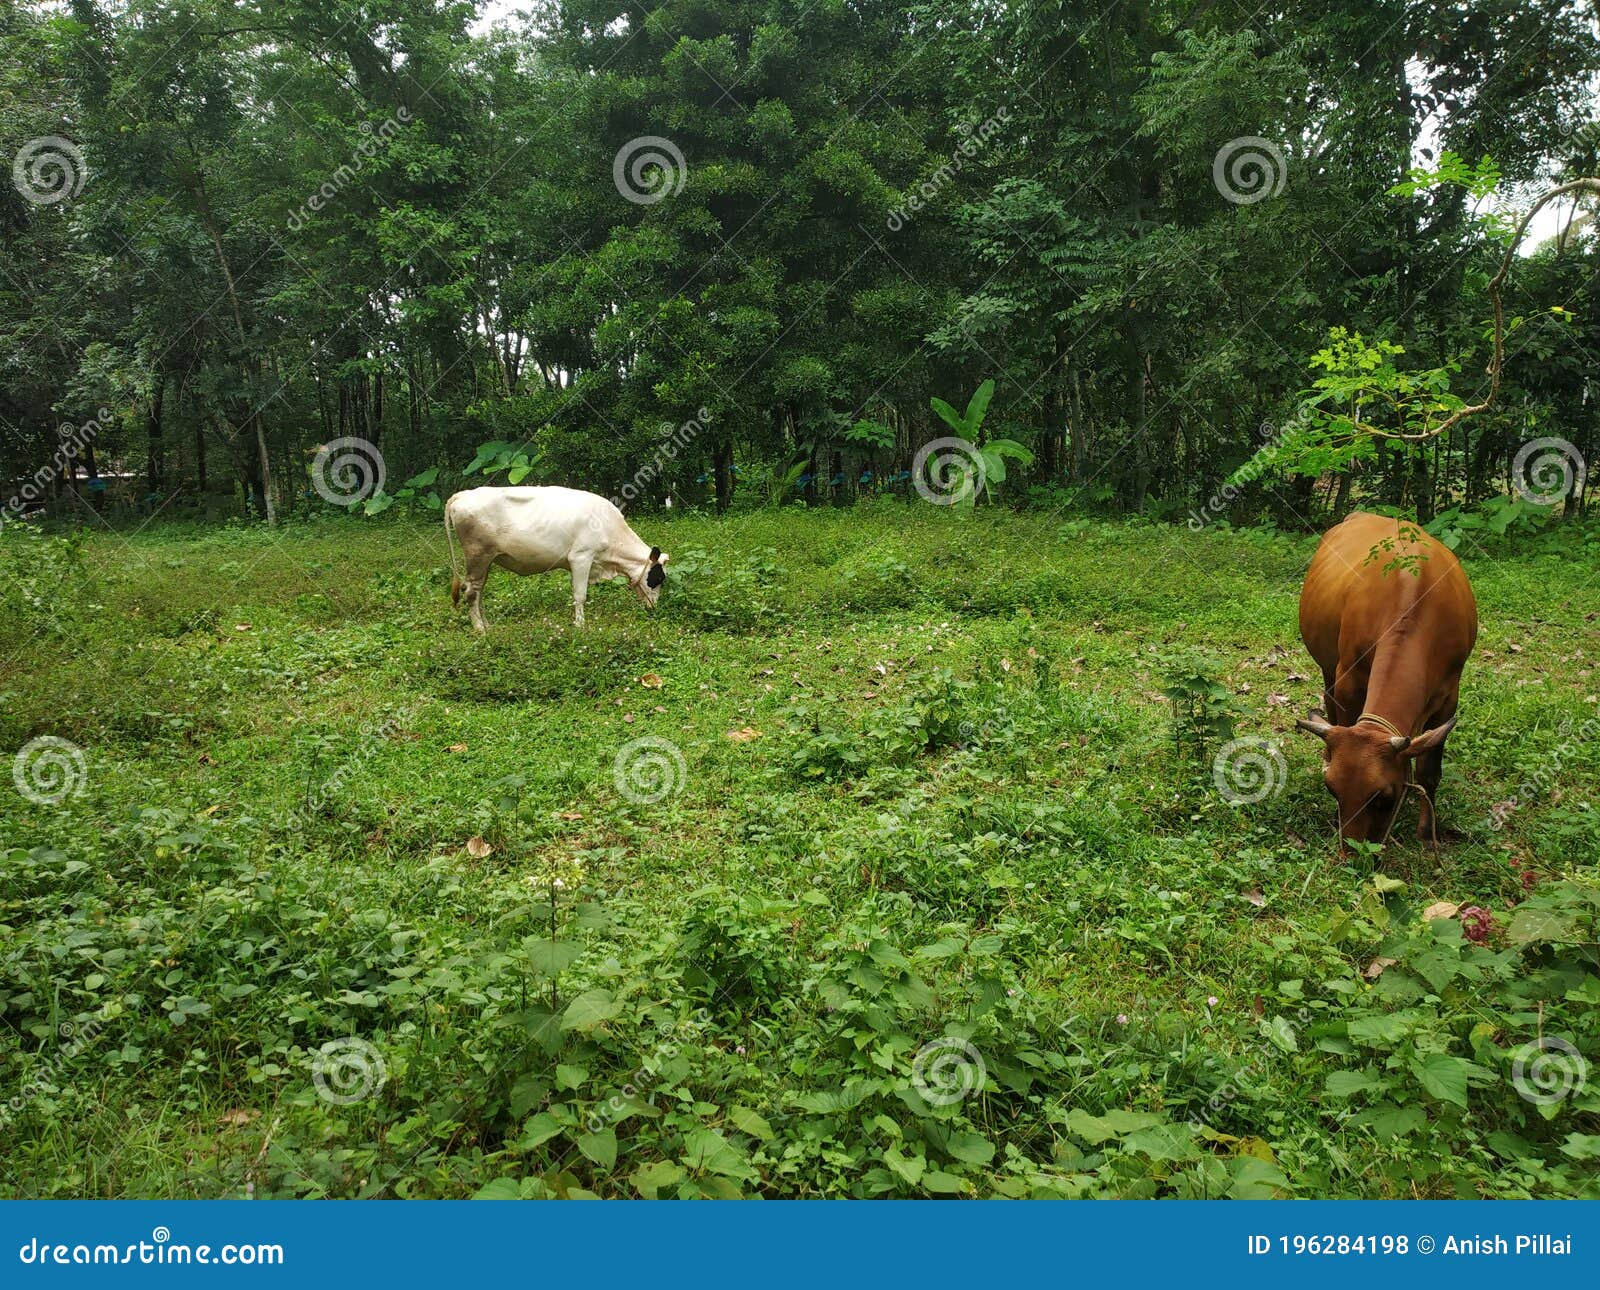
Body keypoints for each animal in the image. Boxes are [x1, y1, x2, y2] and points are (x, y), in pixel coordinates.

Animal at [443, 486, 668, 630]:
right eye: (658, 578)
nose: (654, 608)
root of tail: (463, 494)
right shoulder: (581, 557)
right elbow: (580, 595)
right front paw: (580, 625)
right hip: (478, 556)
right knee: (471, 592)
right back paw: (480, 630)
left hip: (486, 561)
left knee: (479, 592)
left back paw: (487, 625)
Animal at [1294, 511, 1478, 850]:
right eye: (1332, 790)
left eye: (1384, 798)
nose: (1352, 853)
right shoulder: (1348, 681)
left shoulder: (1450, 695)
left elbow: (1429, 770)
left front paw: (1427, 833)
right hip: (1328, 668)